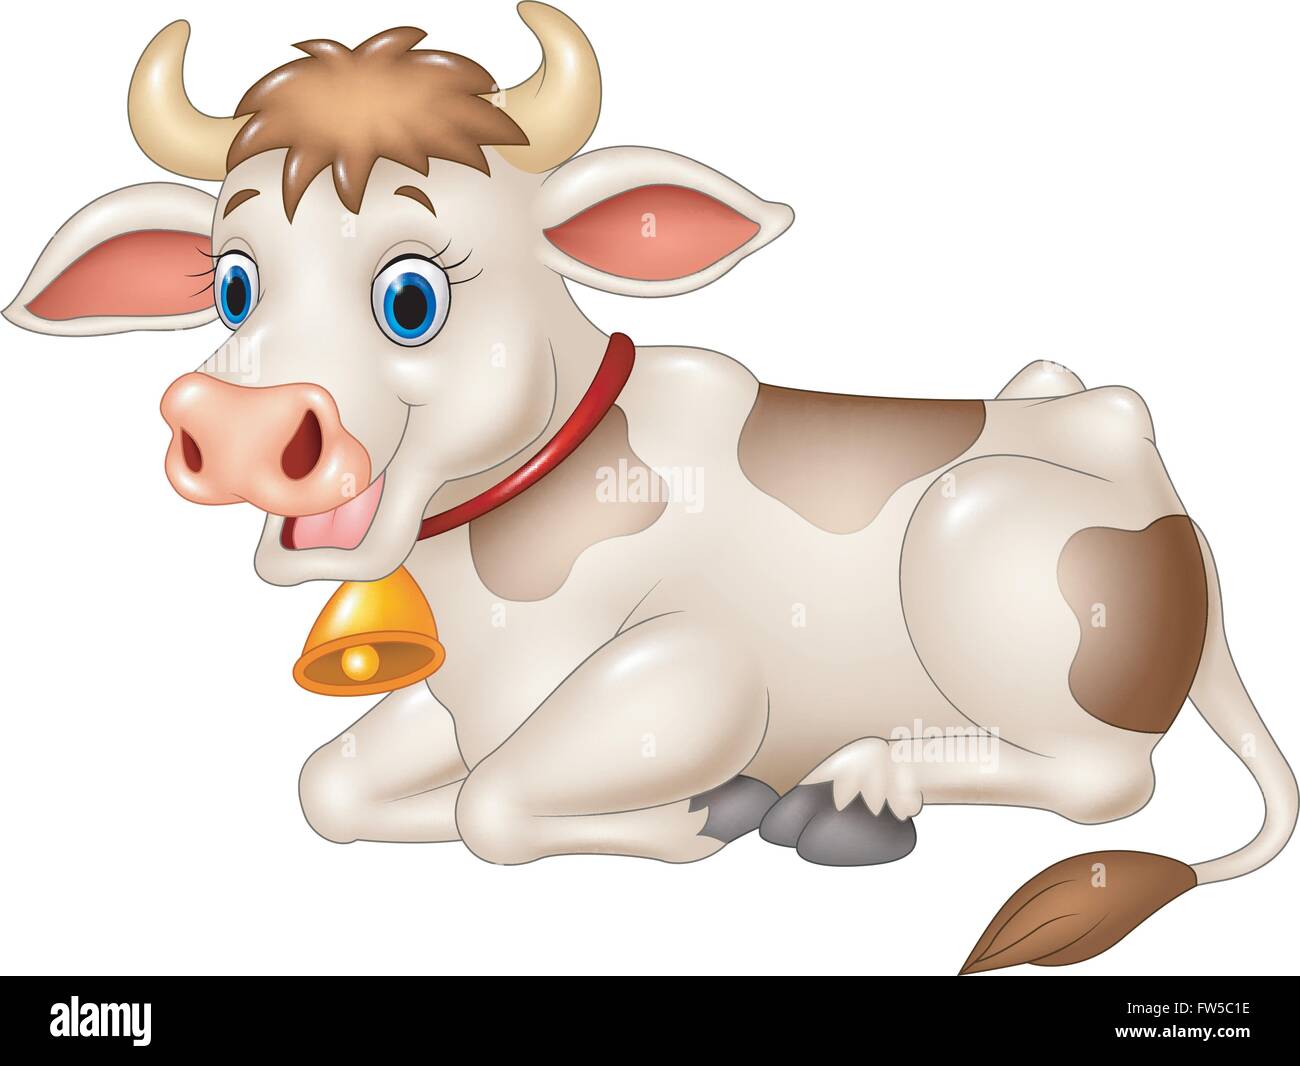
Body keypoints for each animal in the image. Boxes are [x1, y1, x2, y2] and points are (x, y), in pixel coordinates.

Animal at [5, 4, 1295, 974]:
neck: (493, 566)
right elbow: (331, 784)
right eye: (232, 285)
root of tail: (1133, 446)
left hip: (971, 535)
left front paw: (702, 814)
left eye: (410, 298)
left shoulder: (700, 673)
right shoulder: (462, 697)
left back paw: (858, 786)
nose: (238, 424)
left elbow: (493, 808)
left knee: (1103, 780)